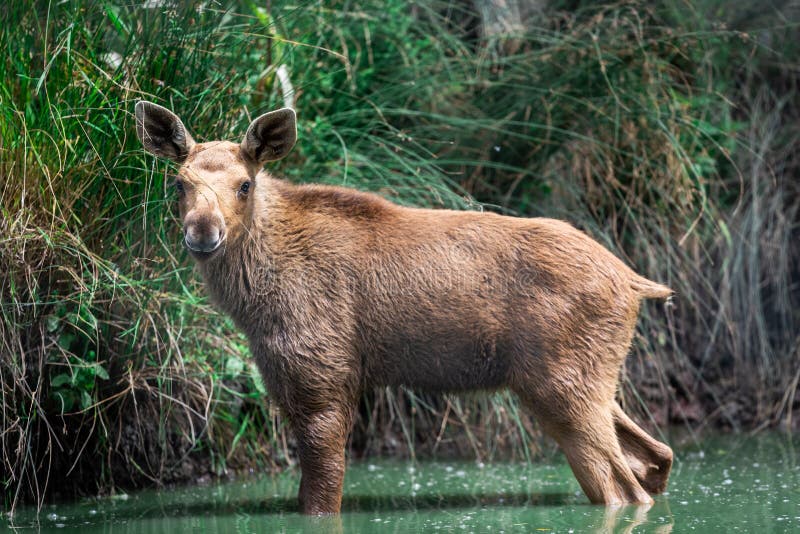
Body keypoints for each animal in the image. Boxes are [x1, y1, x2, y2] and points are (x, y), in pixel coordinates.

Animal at [134, 101, 673, 515]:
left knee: (624, 488)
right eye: (178, 183)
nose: (203, 232)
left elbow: (322, 495)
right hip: (582, 380)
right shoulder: (283, 377)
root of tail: (634, 282)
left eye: (245, 184)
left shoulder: (324, 374)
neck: (251, 303)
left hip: (560, 384)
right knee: (658, 455)